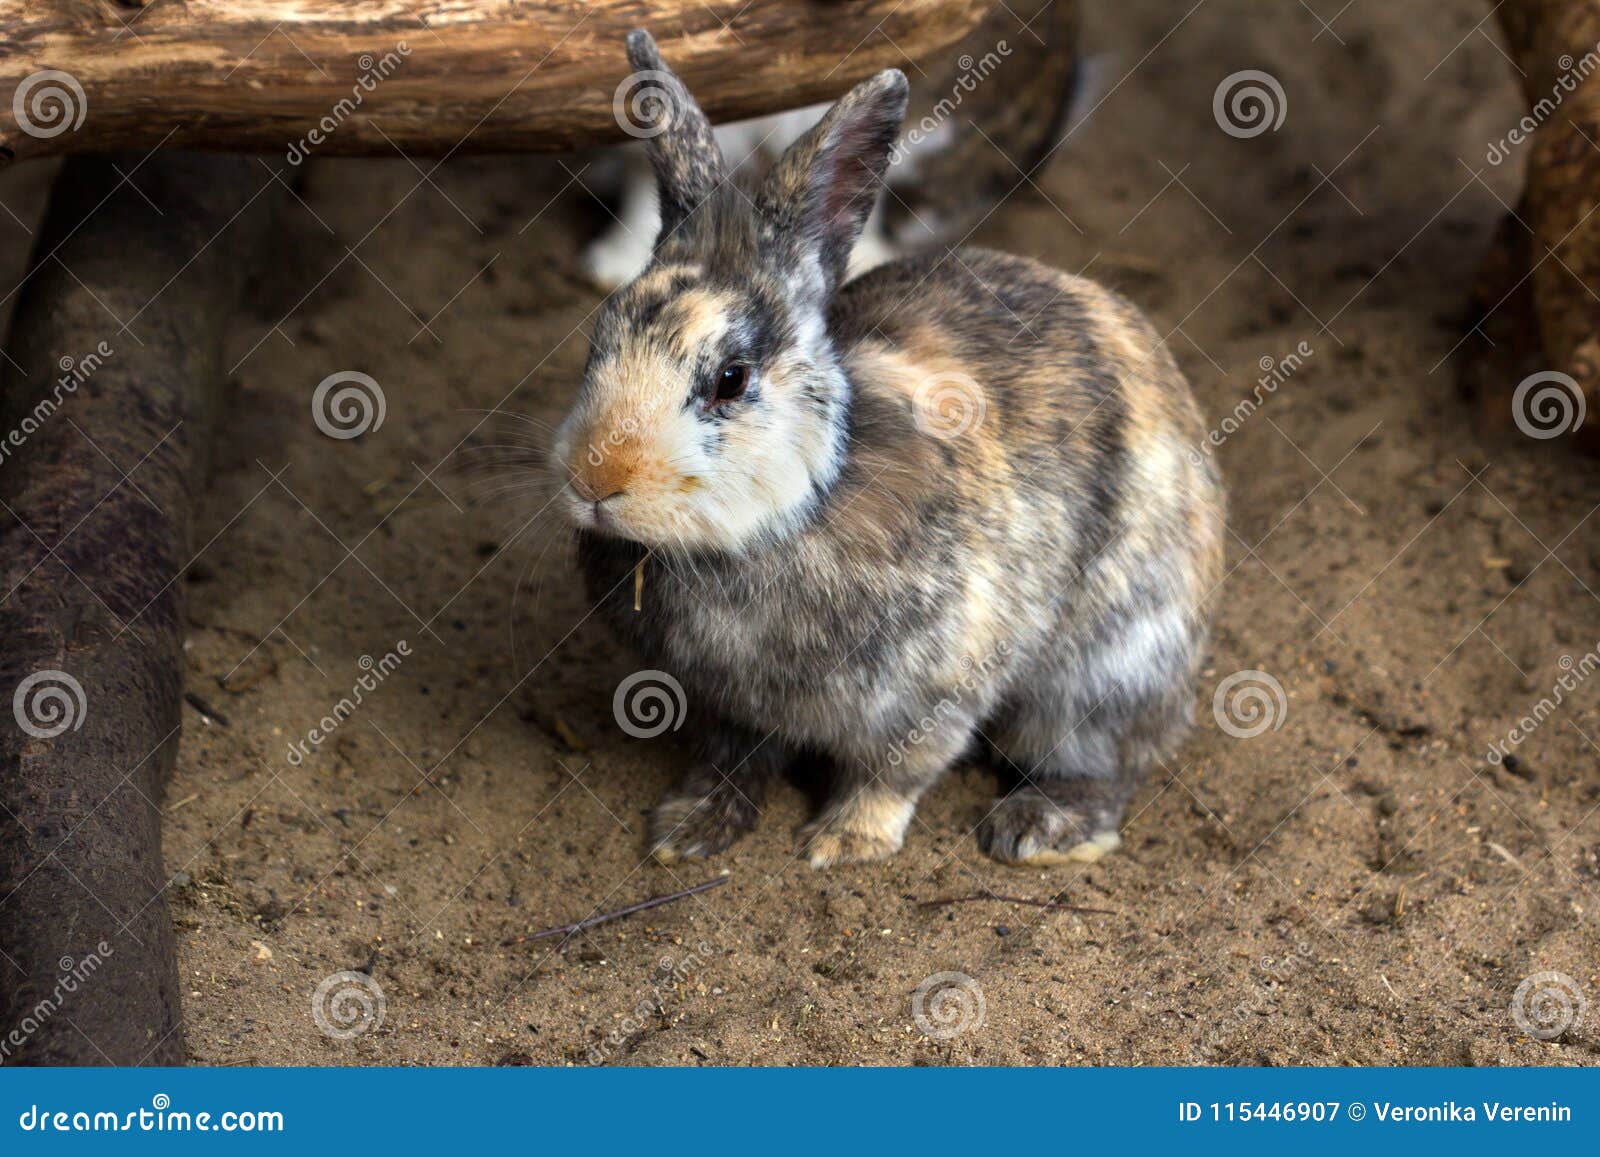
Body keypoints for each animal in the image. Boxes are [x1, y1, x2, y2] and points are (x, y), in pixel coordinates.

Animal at [549, 29, 1226, 869]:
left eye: (731, 379)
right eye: (598, 341)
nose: (593, 481)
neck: (795, 509)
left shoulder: (937, 692)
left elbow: (894, 772)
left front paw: (843, 842)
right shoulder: (727, 710)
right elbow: (732, 759)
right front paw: (690, 826)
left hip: (1108, 667)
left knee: (1106, 765)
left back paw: (1038, 827)